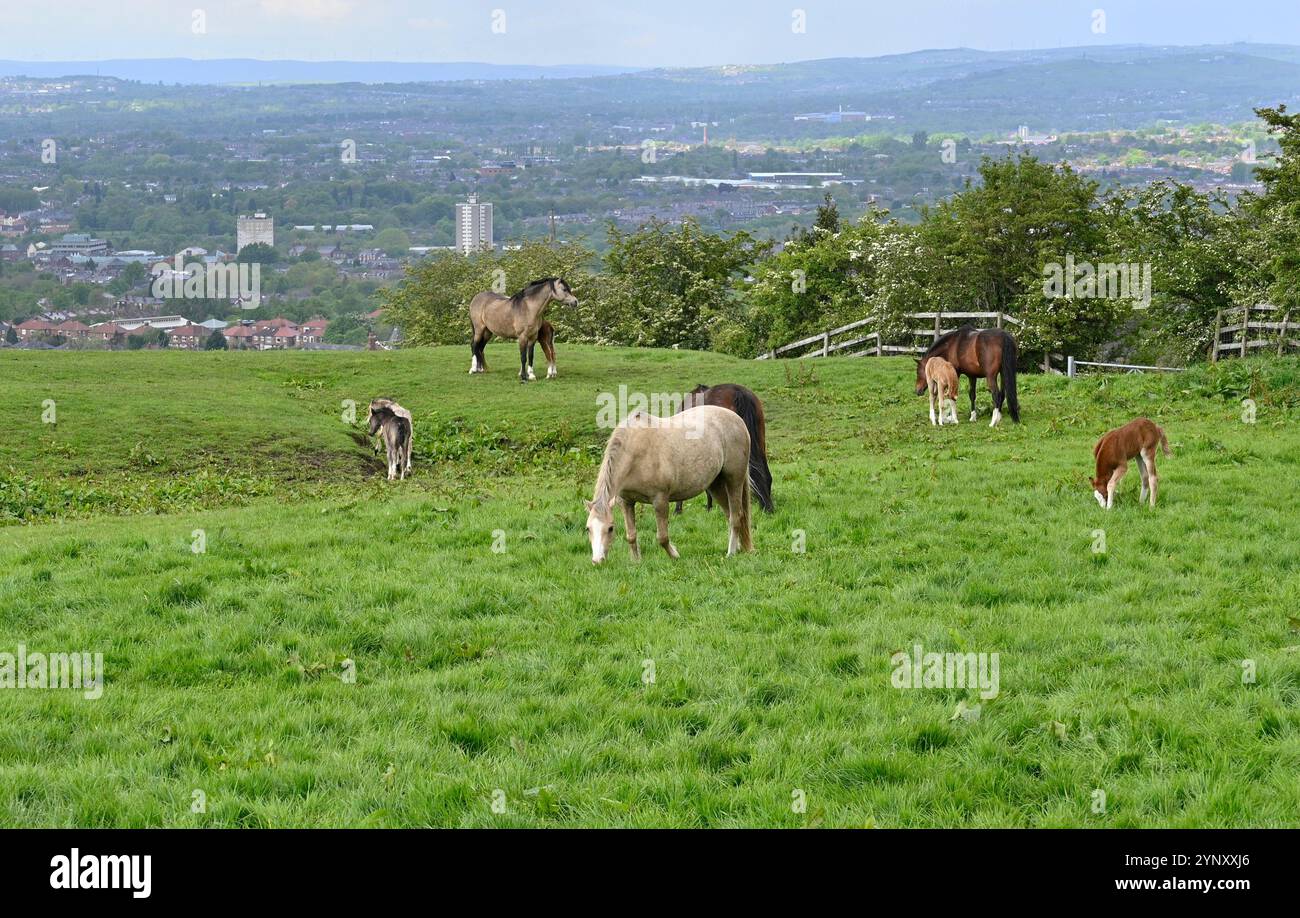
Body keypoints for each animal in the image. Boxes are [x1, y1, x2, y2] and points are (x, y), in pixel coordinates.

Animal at [585, 405, 753, 564]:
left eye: (610, 528)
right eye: (588, 529)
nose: (597, 561)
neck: (636, 453)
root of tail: (737, 419)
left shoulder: (660, 500)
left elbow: (663, 537)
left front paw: (675, 555)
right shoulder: (626, 502)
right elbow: (631, 535)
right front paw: (636, 561)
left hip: (734, 480)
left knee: (736, 517)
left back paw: (731, 553)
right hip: (715, 485)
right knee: (729, 514)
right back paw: (738, 547)